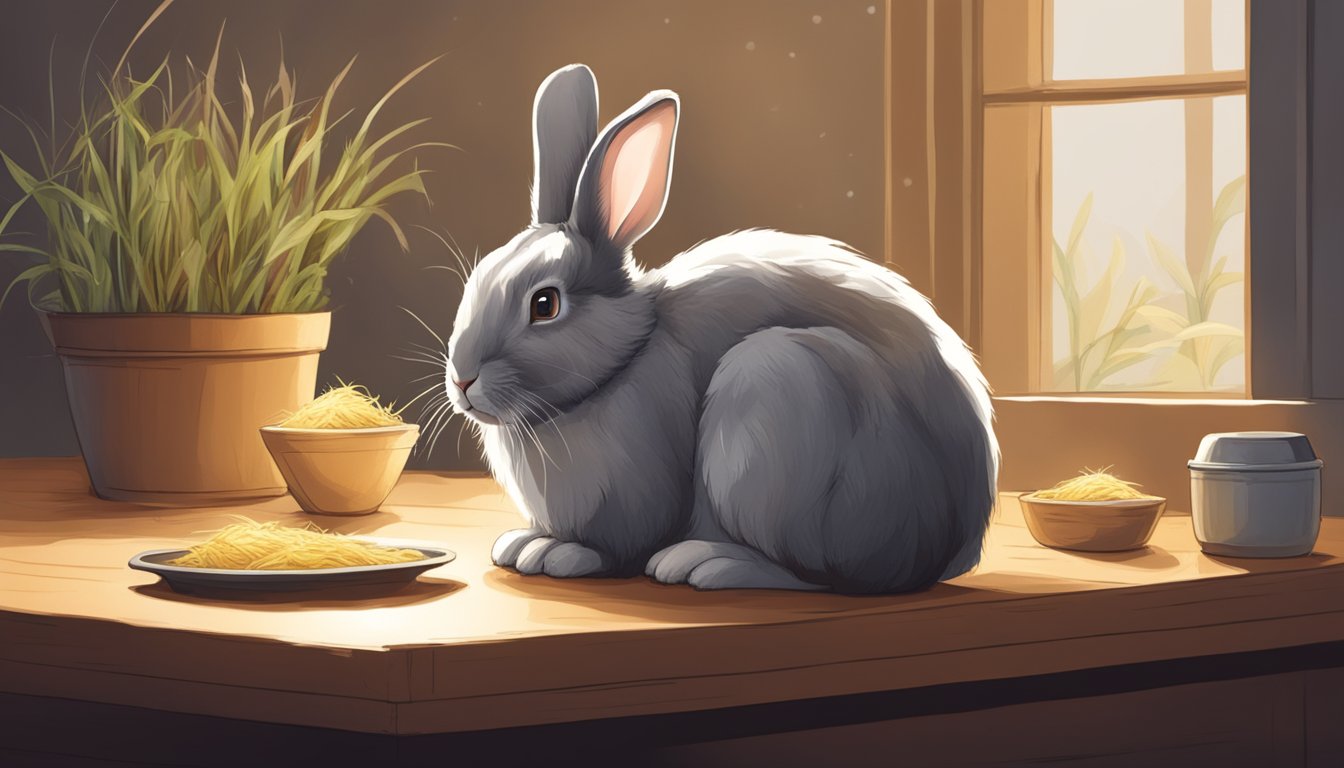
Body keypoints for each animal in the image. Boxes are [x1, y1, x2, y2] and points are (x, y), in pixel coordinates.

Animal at [444, 64, 999, 593]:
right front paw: (524, 544)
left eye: (545, 304)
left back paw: (706, 562)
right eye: (477, 279)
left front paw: (557, 553)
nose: (462, 379)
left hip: (779, 402)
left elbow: (613, 548)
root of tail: (953, 547)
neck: (620, 365)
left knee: (820, 577)